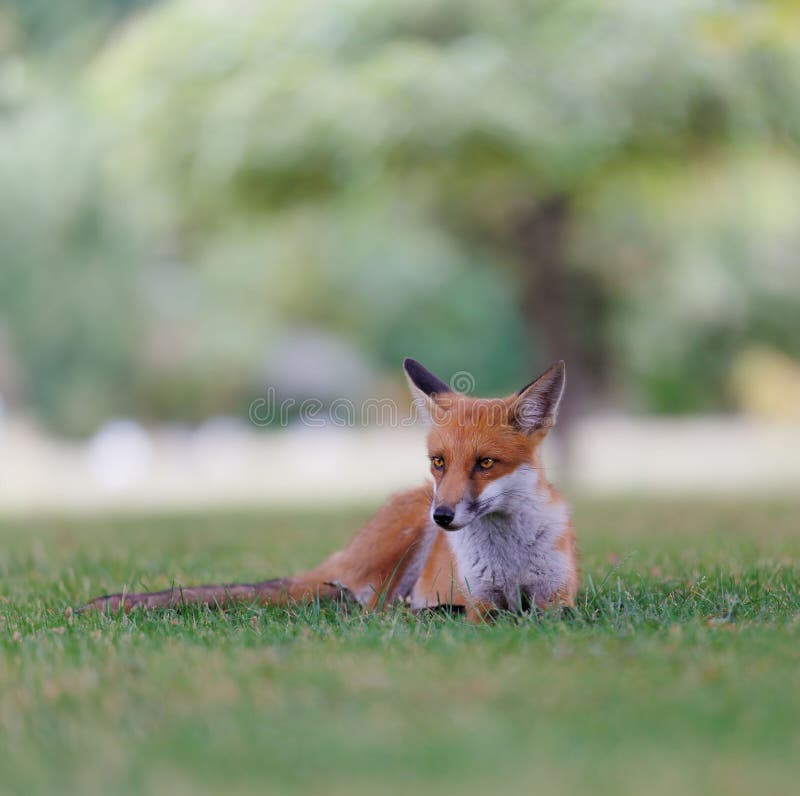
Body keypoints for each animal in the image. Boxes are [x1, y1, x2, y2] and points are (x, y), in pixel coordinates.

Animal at [83, 358, 578, 623]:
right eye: (439, 462)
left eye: (486, 463)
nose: (442, 517)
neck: (508, 561)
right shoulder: (479, 604)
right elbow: (482, 614)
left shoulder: (558, 598)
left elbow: (557, 614)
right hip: (400, 547)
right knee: (371, 607)